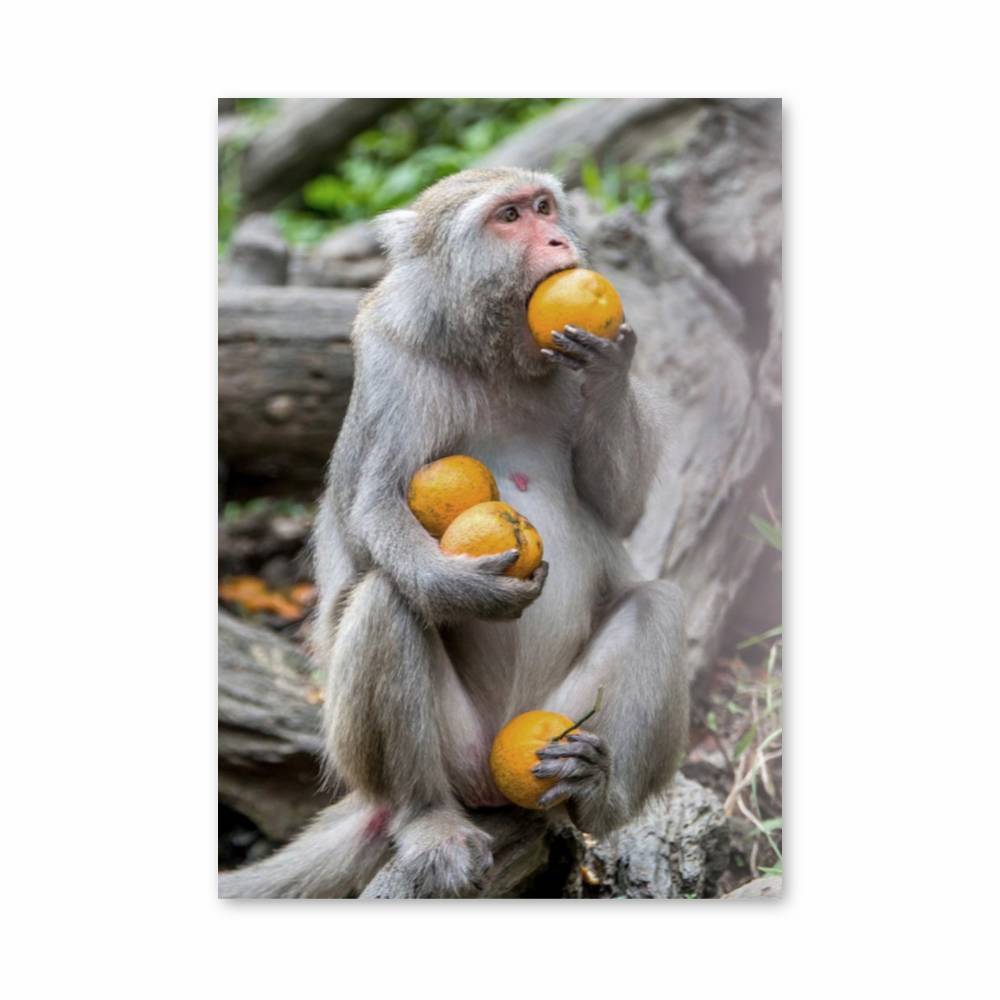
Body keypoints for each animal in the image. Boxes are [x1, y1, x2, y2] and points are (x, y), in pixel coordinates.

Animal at [219, 167, 688, 898]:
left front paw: (610, 369)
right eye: (509, 217)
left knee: (657, 607)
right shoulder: (392, 364)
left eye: (545, 207)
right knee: (388, 599)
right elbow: (374, 510)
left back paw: (595, 794)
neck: (492, 351)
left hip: (552, 719)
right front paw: (464, 591)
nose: (557, 240)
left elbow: (621, 506)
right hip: (444, 756)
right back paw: (426, 818)